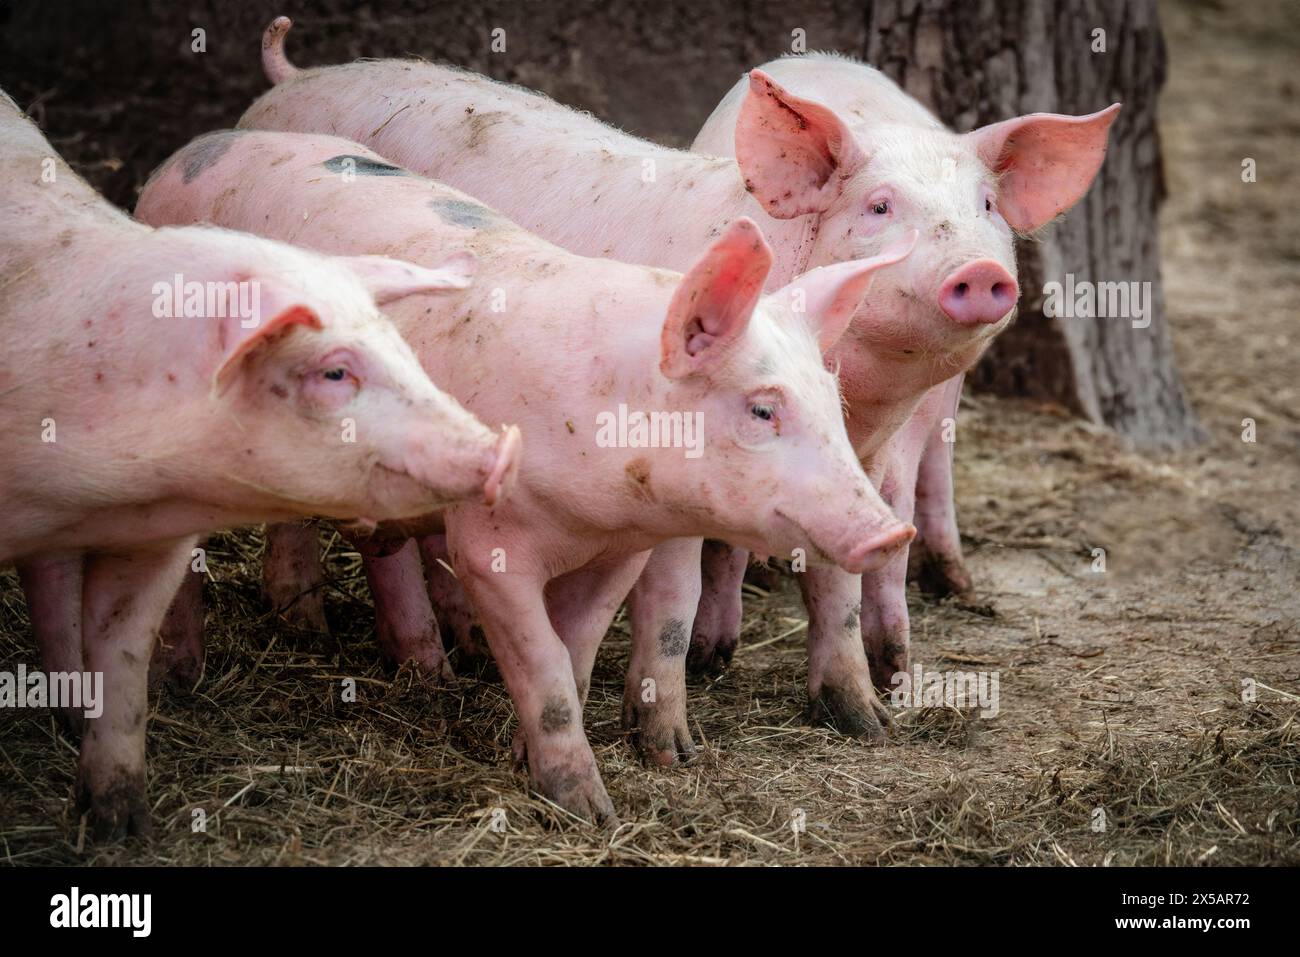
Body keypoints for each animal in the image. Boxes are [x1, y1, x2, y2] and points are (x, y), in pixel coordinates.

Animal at [0, 91, 519, 838]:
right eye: (333, 371)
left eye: (404, 348)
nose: (503, 448)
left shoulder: (150, 540)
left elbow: (121, 654)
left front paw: (125, 828)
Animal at [136, 127, 916, 821]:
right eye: (761, 408)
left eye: (832, 402)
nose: (891, 532)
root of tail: (186, 152)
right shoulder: (489, 547)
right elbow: (544, 668)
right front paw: (589, 813)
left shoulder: (621, 551)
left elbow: (575, 655)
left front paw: (529, 764)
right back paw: (179, 678)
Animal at [241, 19, 1116, 760]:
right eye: (878, 205)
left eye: (987, 204)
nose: (984, 270)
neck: (866, 399)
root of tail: (290, 79)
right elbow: (672, 592)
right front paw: (673, 751)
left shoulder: (852, 466)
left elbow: (838, 576)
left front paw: (865, 720)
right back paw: (349, 643)